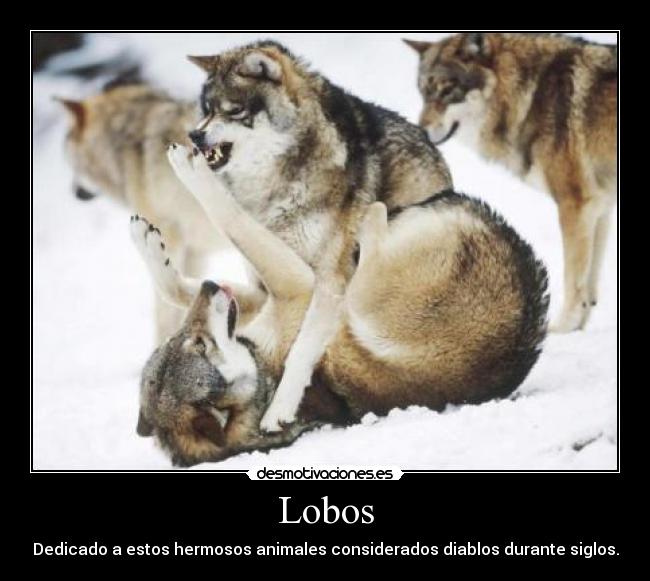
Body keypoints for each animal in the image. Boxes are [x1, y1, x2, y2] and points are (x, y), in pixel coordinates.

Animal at [129, 145, 549, 467]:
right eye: (198, 344)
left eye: (182, 340)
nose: (211, 285)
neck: (263, 369)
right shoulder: (298, 285)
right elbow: (231, 220)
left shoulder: (275, 294)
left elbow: (178, 287)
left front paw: (148, 241)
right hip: (361, 296)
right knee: (368, 239)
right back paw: (370, 220)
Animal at [181, 40, 453, 431]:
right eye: (205, 110)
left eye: (233, 110)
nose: (194, 135)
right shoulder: (266, 282)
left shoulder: (327, 283)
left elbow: (299, 351)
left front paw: (277, 412)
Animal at [404, 33, 617, 332]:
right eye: (423, 92)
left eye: (448, 91)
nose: (420, 131)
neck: (530, 95)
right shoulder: (600, 208)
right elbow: (589, 285)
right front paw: (578, 330)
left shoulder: (575, 206)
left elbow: (573, 281)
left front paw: (560, 330)